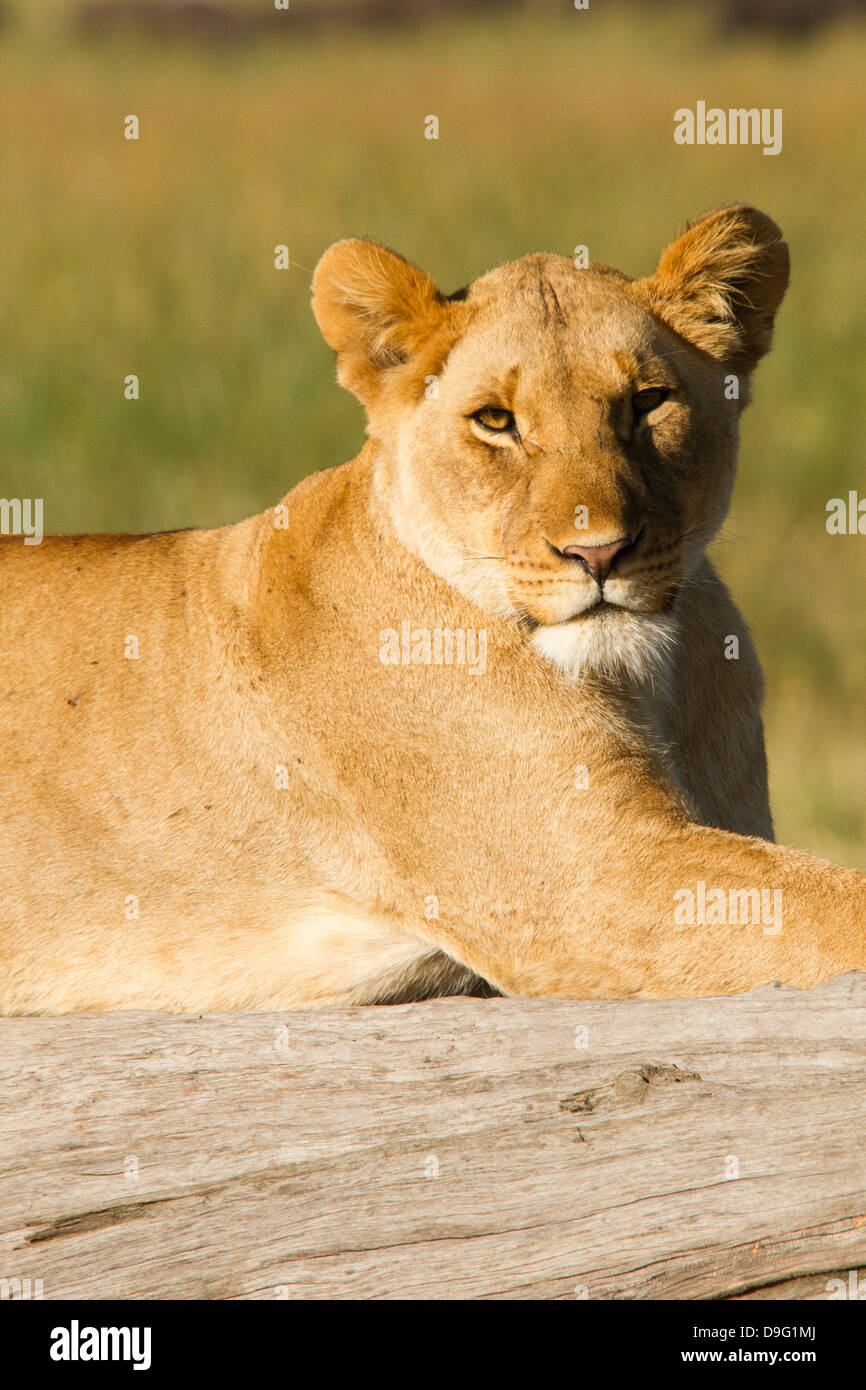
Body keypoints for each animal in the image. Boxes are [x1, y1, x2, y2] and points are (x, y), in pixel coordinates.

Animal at [1, 204, 864, 1014]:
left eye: (647, 403)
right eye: (497, 421)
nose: (599, 554)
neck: (650, 681)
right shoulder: (592, 882)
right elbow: (841, 908)